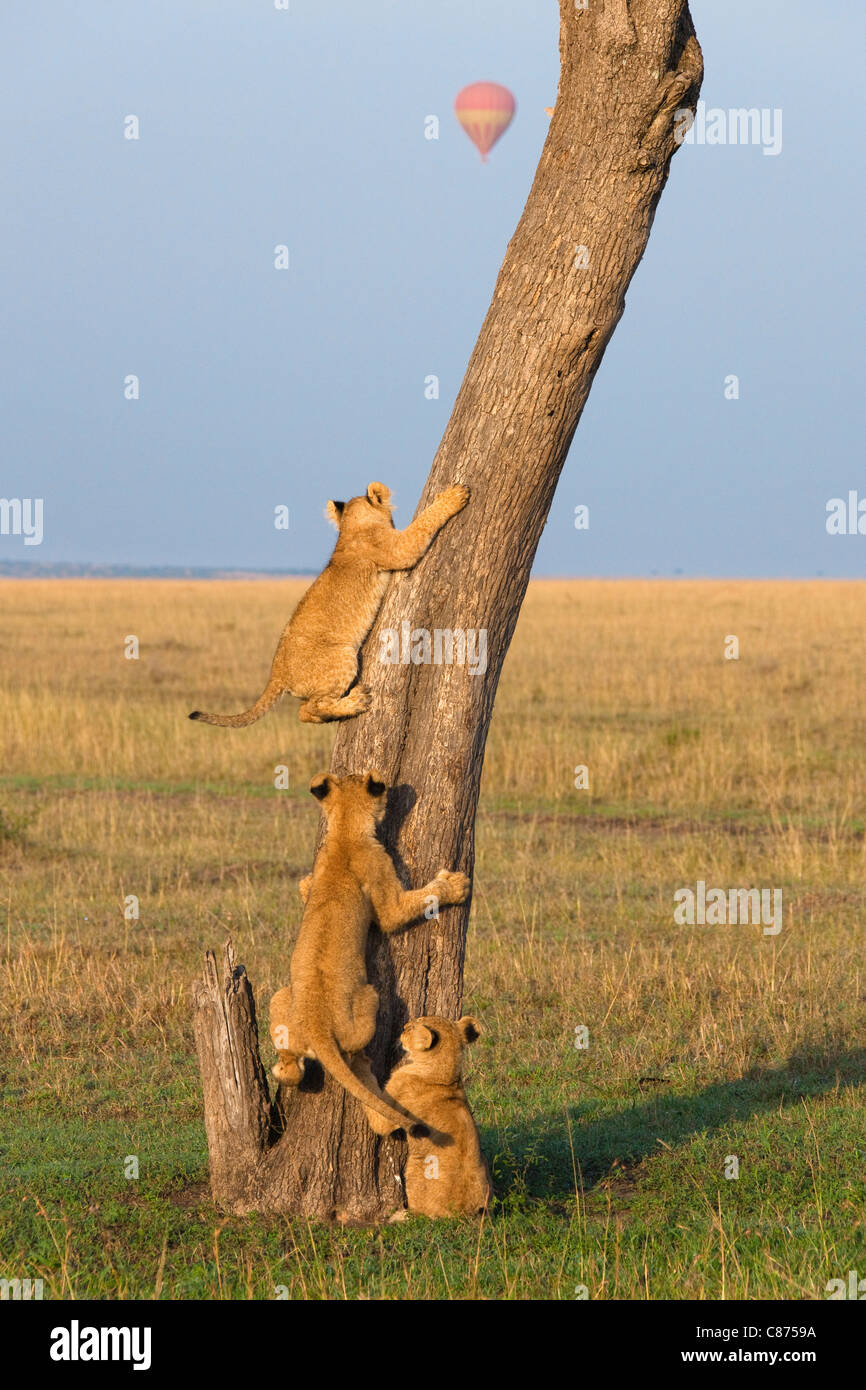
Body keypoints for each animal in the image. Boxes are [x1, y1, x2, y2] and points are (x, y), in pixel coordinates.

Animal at [189, 480, 469, 727]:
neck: (350, 527)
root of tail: (276, 674)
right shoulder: (399, 548)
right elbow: (423, 524)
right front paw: (453, 497)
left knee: (304, 712)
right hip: (342, 656)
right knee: (310, 707)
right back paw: (354, 702)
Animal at [268, 770, 471, 1135]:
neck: (344, 832)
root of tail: (317, 1027)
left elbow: (306, 886)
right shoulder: (385, 887)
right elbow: (411, 904)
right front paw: (455, 885)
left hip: (280, 998)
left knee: (291, 1068)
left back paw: (282, 1068)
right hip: (369, 997)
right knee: (353, 1048)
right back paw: (362, 1060)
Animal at [362, 1015, 492, 1217]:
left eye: (412, 1027)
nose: (403, 1027)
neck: (446, 1076)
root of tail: (462, 1213)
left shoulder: (395, 1095)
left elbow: (376, 1112)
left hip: (415, 1169)